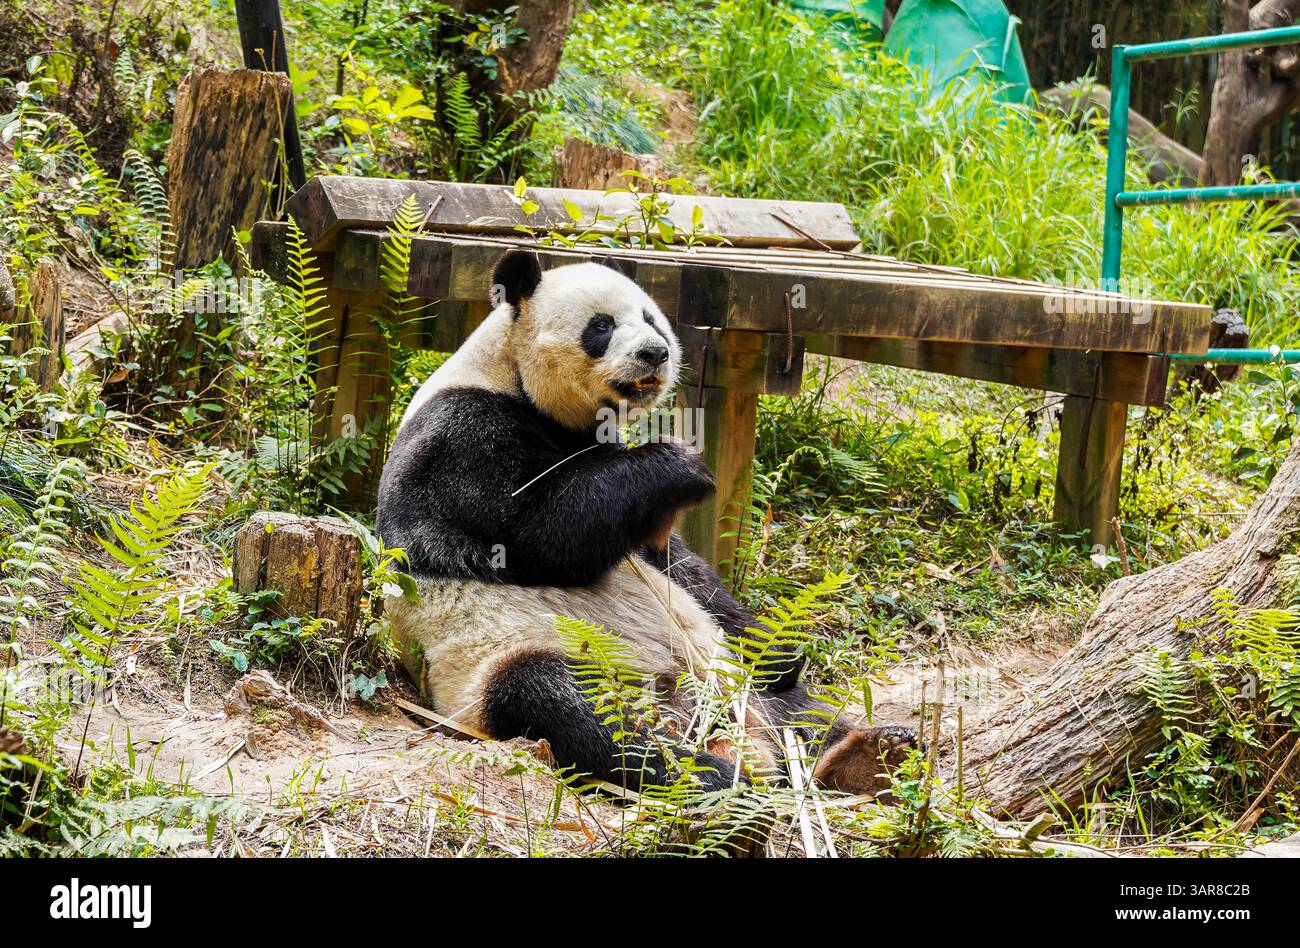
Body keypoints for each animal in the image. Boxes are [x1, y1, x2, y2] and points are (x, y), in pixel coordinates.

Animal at [377, 249, 913, 793]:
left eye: (652, 319)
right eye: (602, 325)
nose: (656, 353)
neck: (514, 378)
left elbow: (675, 561)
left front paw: (782, 650)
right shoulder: (460, 438)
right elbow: (537, 534)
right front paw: (681, 465)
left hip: (726, 675)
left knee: (793, 708)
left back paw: (865, 753)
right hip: (498, 661)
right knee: (564, 704)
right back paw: (710, 776)